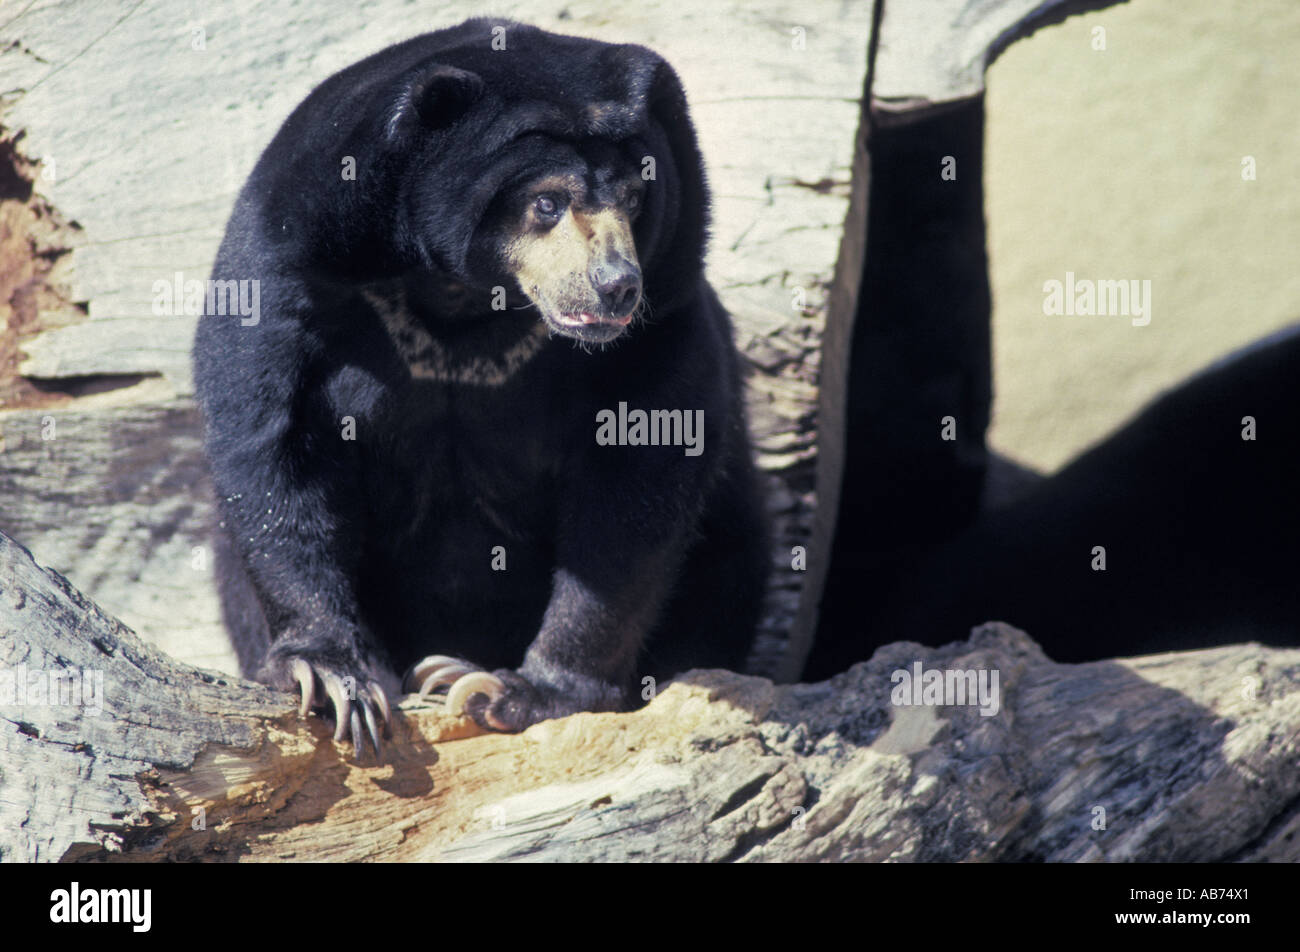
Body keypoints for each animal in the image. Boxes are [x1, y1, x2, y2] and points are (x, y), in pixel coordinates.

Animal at [193, 19, 768, 759]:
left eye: (637, 198)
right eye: (547, 202)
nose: (615, 286)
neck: (466, 298)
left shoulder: (663, 314)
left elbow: (640, 477)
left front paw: (508, 690)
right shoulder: (292, 258)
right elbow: (272, 438)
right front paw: (333, 675)